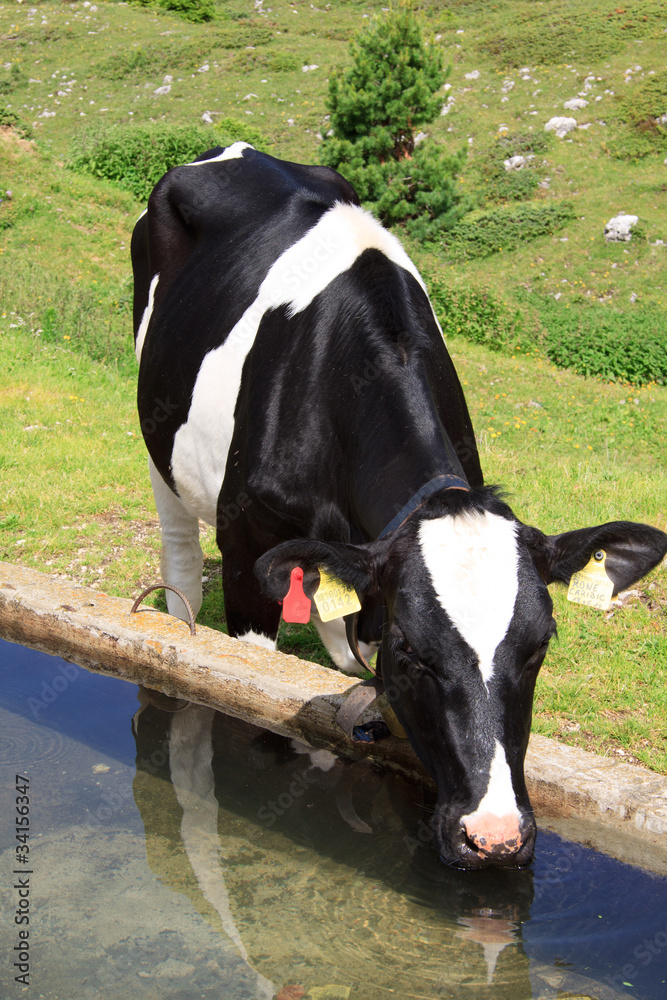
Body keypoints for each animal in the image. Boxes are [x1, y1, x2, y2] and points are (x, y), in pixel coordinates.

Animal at [132, 142, 667, 869]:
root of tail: (236, 150)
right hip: (161, 432)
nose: (494, 835)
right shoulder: (248, 553)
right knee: (180, 551)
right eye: (414, 651)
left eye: (539, 646)